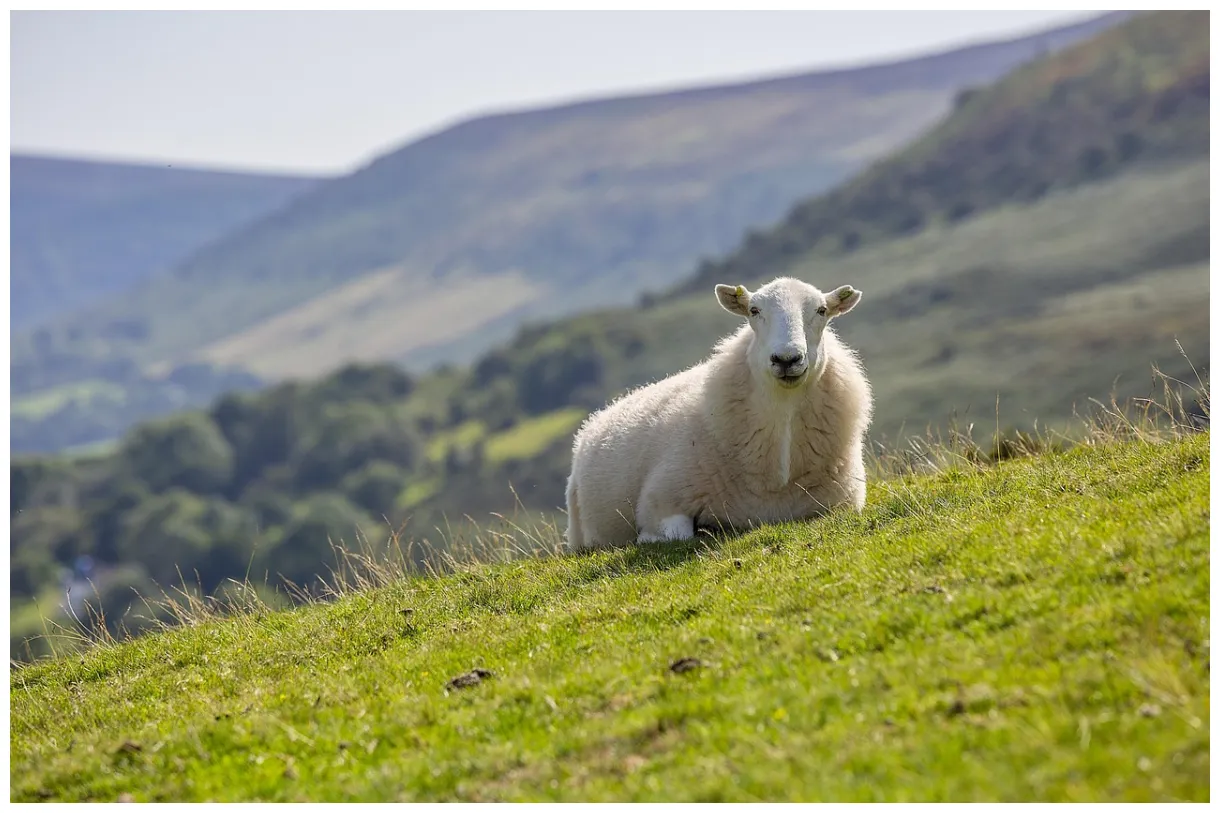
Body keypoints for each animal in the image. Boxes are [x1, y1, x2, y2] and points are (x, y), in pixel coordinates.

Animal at [564, 276, 872, 550]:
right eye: (754, 310)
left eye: (822, 310)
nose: (787, 359)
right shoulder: (661, 501)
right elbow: (675, 535)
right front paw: (654, 538)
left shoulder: (843, 504)